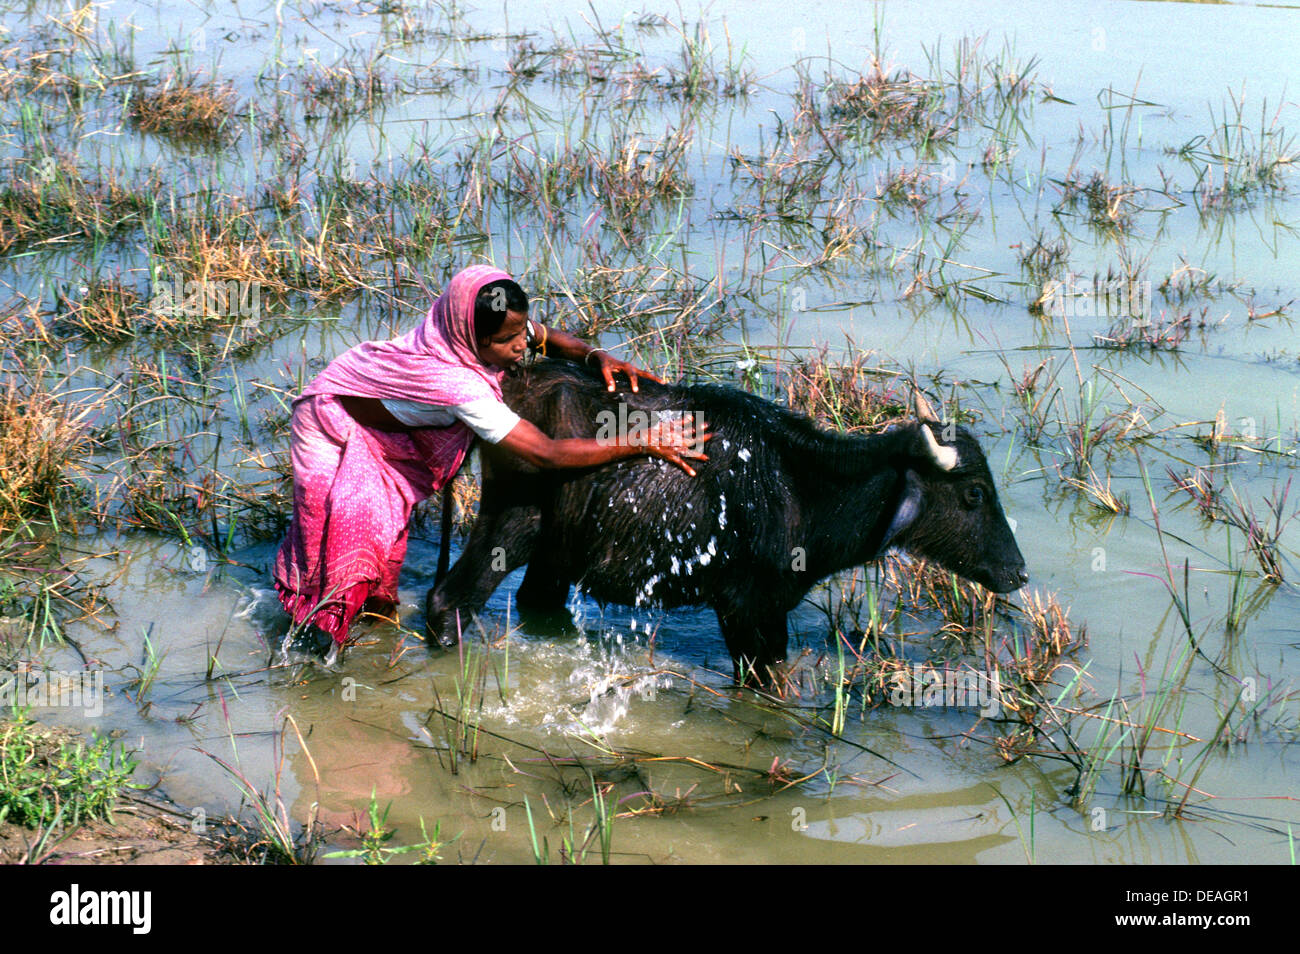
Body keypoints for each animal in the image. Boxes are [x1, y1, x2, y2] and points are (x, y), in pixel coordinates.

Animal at [424, 361, 1028, 687]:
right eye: (975, 493)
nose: (1018, 572)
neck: (801, 486)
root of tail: (510, 383)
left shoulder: (771, 614)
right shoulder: (744, 610)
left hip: (552, 554)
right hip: (513, 522)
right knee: (450, 598)